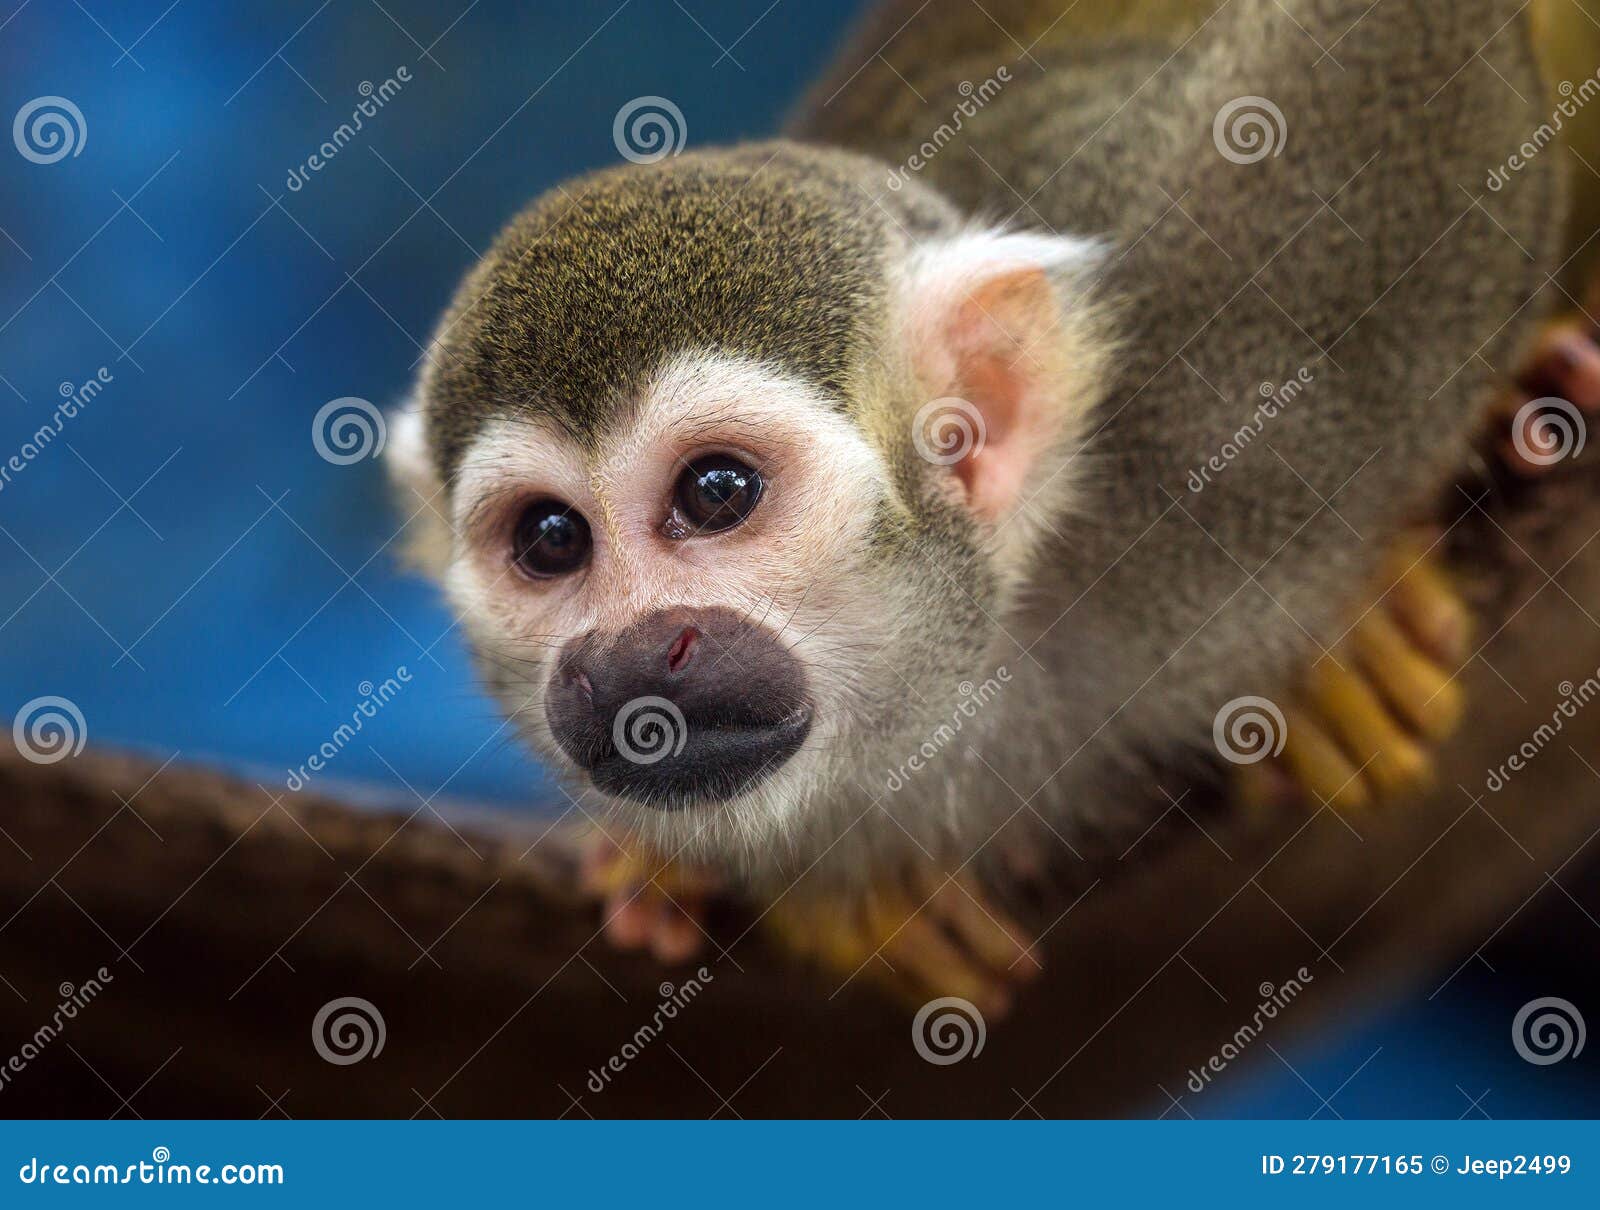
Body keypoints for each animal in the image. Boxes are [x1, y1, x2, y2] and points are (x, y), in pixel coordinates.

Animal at [386, 0, 1596, 1016]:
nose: (629, 655)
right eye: (550, 540)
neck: (983, 651)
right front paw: (692, 880)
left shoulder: (1237, 294)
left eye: (715, 492)